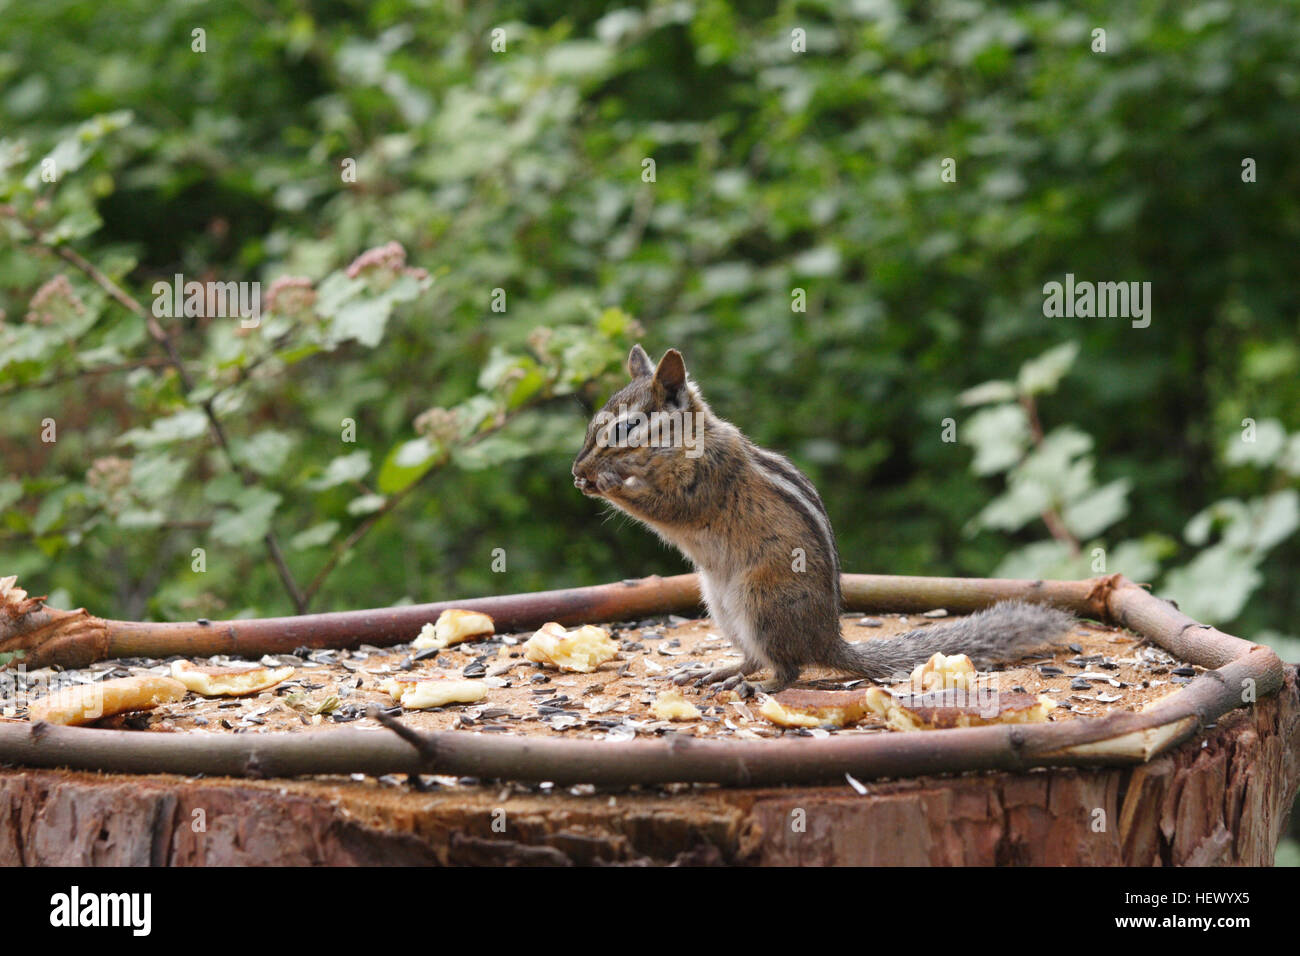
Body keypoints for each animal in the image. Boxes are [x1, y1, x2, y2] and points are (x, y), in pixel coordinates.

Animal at [572, 344, 1075, 698]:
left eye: (625, 428)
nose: (578, 469)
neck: (687, 443)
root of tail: (828, 640)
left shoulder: (704, 482)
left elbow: (662, 507)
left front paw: (609, 483)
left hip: (762, 599)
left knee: (788, 669)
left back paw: (757, 685)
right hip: (723, 604)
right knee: (755, 658)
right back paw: (719, 670)